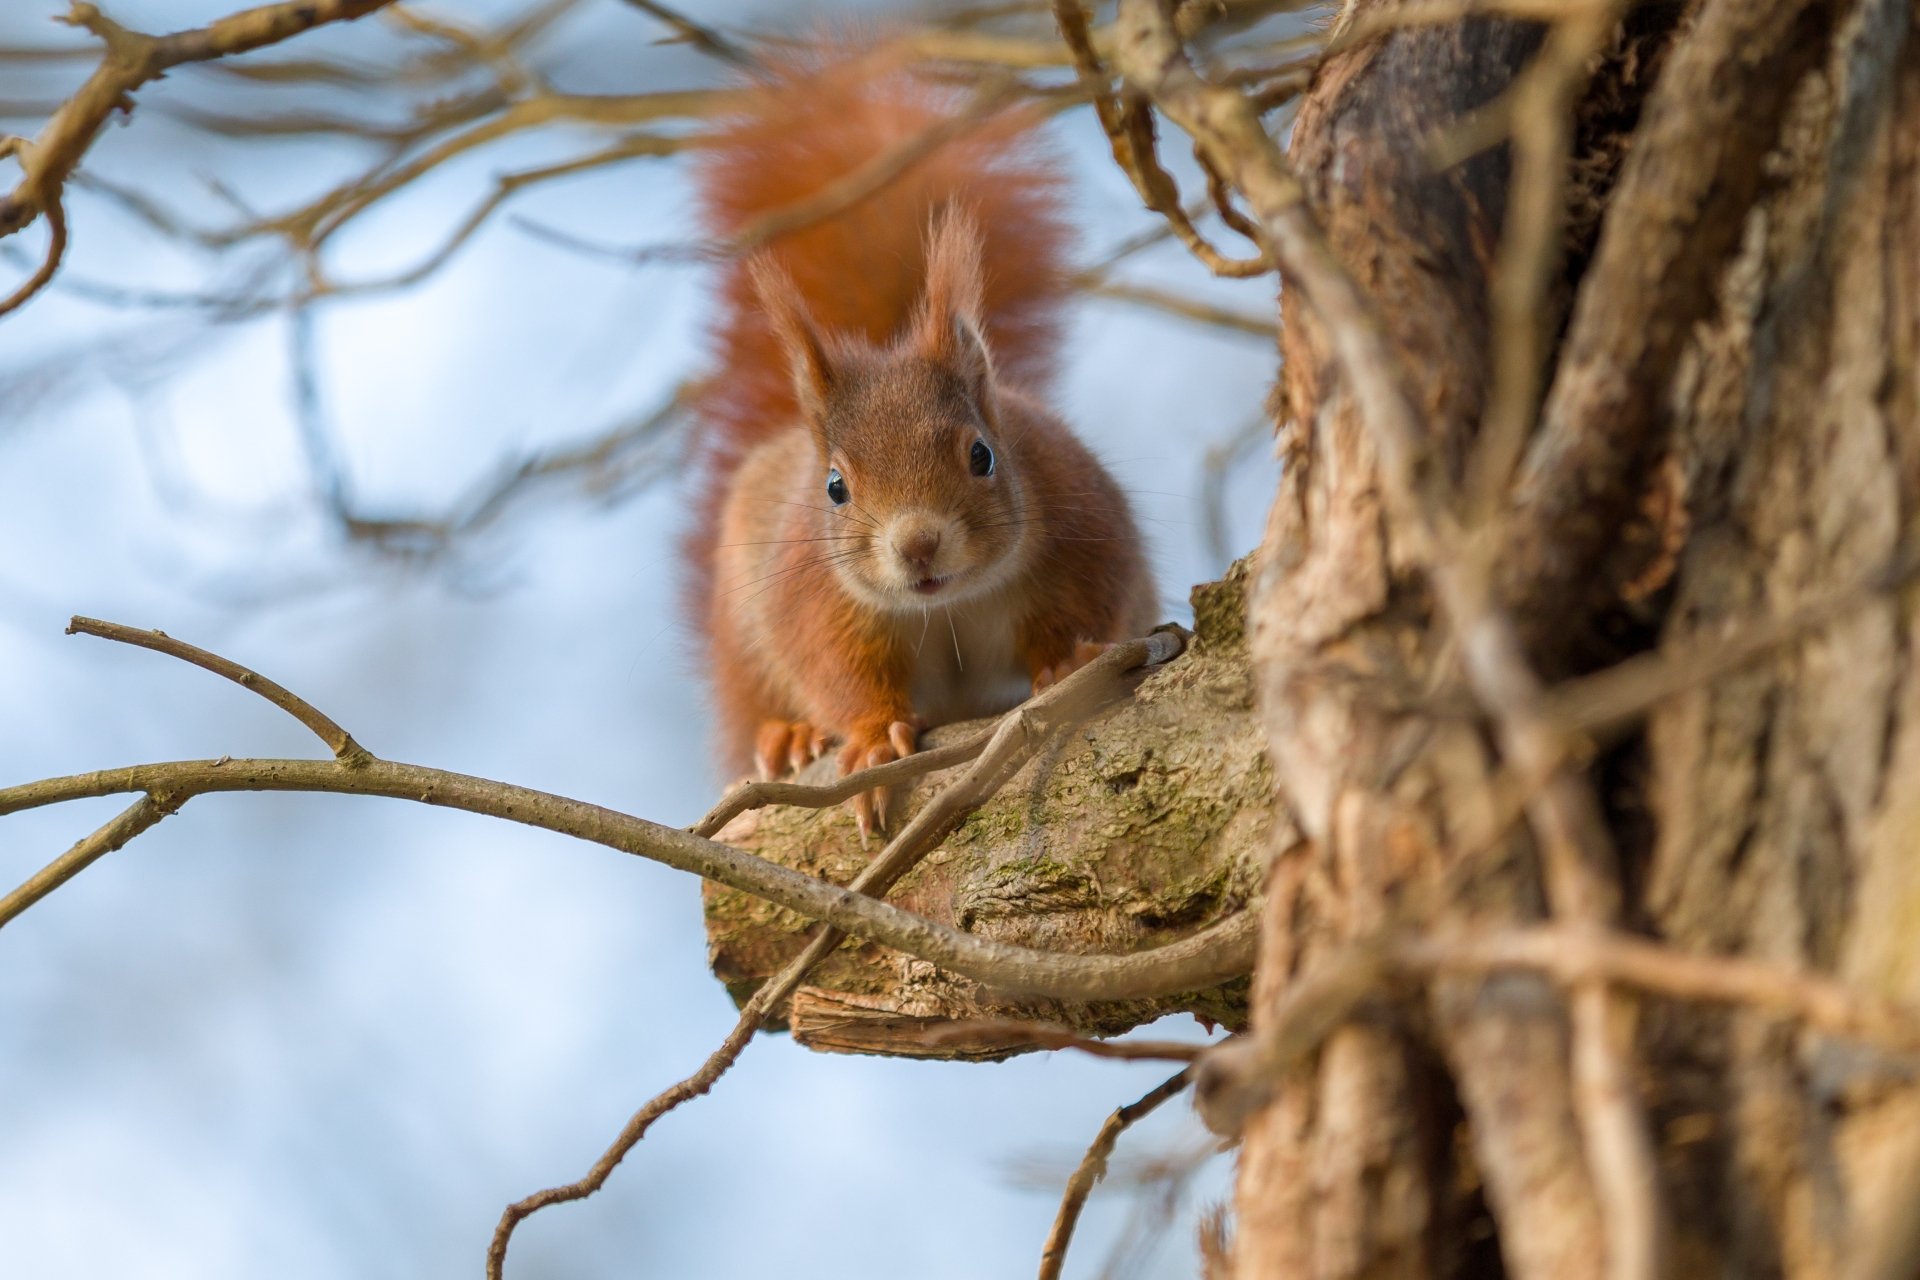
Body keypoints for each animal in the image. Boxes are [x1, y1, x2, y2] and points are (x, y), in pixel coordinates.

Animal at [687, 50, 1158, 835]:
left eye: (983, 455)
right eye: (835, 487)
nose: (918, 545)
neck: (948, 608)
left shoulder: (1080, 524)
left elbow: (1086, 601)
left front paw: (1066, 664)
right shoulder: (814, 599)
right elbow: (837, 671)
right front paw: (876, 737)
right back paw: (788, 735)